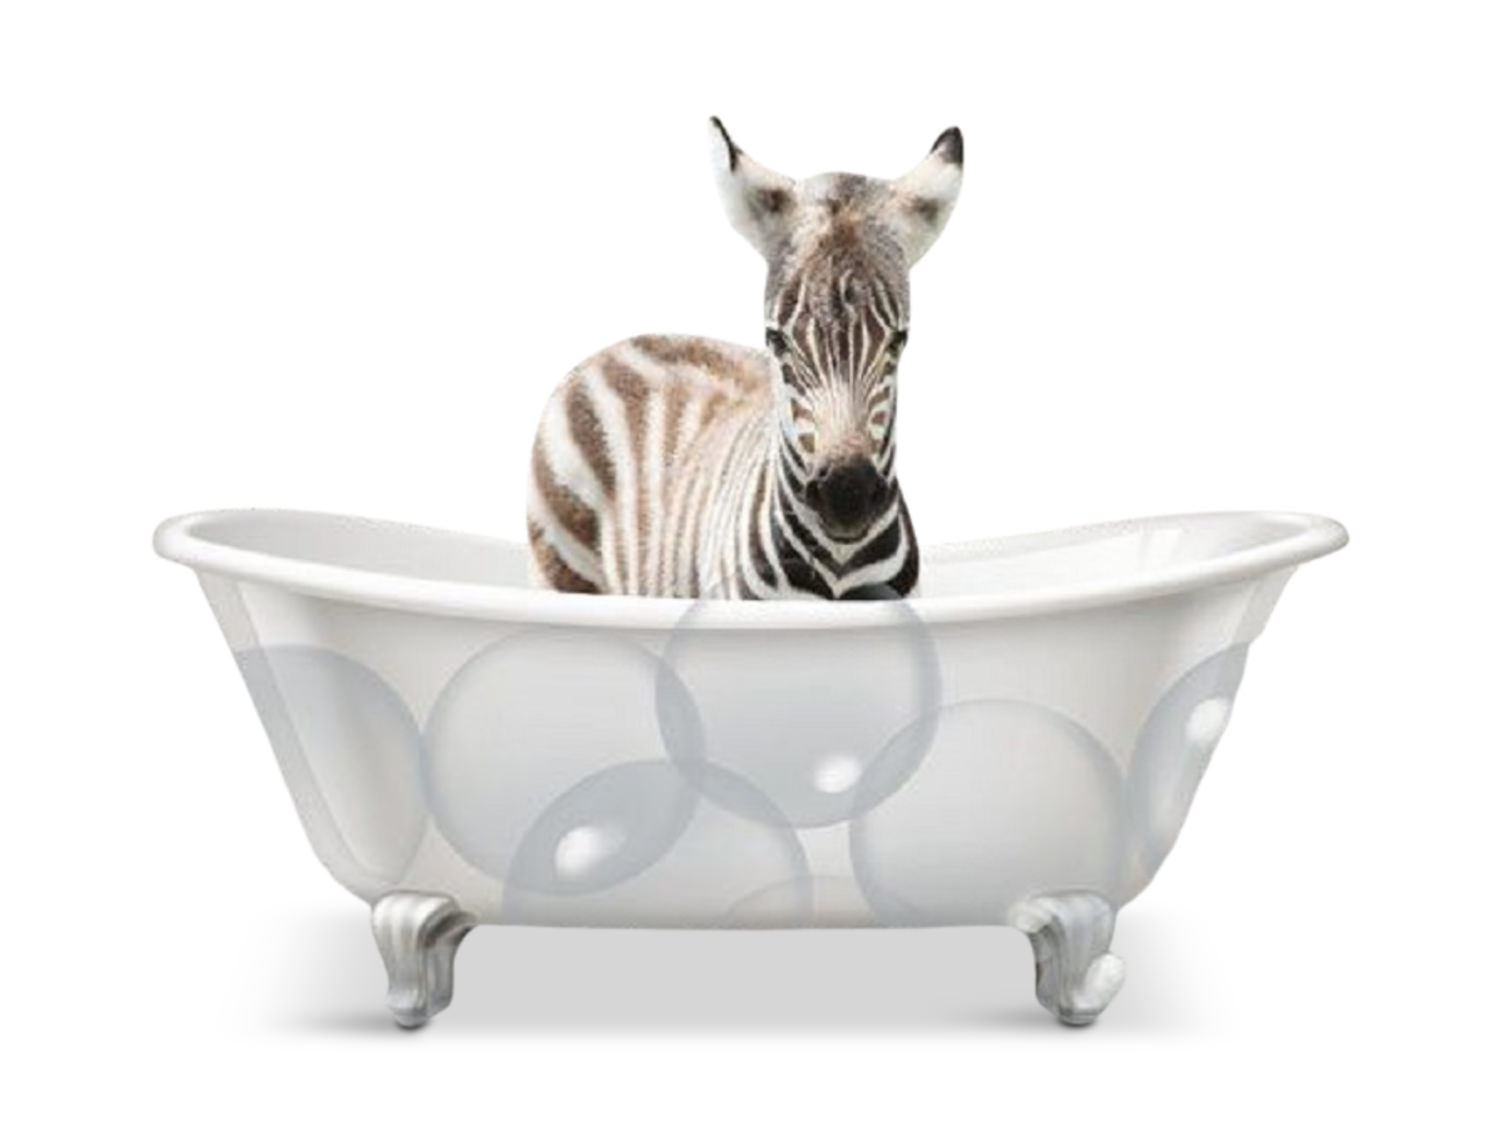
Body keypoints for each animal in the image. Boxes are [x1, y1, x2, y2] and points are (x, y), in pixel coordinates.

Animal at [527, 117, 963, 600]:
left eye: (899, 340)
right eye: (775, 339)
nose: (845, 497)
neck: (839, 564)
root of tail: (618, 344)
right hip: (563, 566)